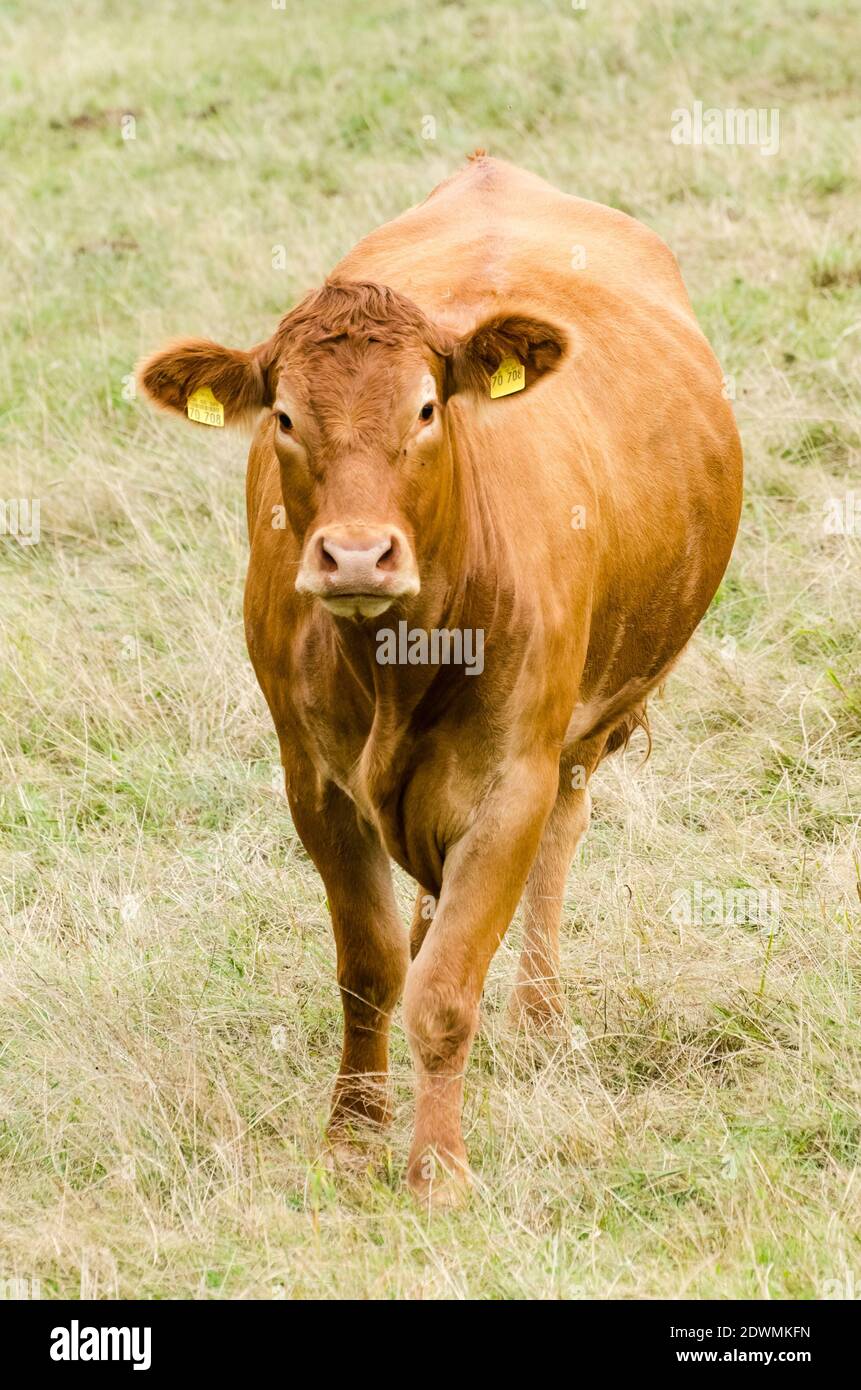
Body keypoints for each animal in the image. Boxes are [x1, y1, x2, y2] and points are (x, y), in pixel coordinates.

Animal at [139, 154, 742, 1206]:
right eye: (284, 417)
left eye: (426, 409)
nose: (355, 555)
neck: (398, 666)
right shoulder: (314, 783)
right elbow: (372, 968)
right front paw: (351, 1137)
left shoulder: (513, 782)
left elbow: (450, 988)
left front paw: (437, 1168)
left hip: (586, 730)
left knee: (559, 841)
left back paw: (539, 1020)